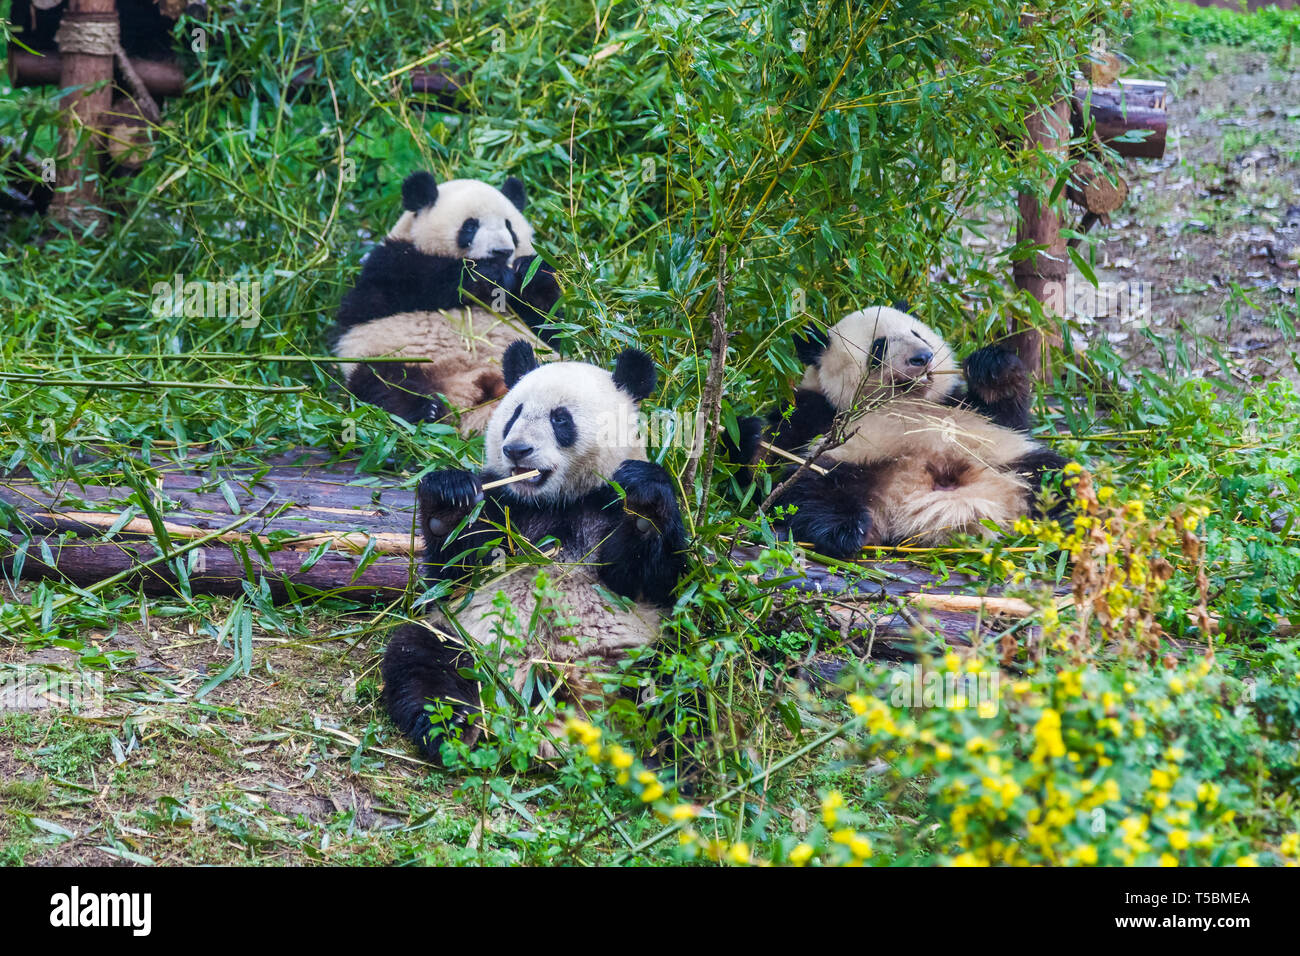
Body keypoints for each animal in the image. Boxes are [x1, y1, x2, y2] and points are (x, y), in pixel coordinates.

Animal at [333, 172, 564, 432]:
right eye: (470, 226)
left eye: (509, 226)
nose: (502, 251)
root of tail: (469, 396)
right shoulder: (388, 265)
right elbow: (415, 283)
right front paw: (486, 273)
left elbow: (548, 322)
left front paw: (529, 271)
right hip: (391, 357)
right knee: (383, 382)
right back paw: (425, 408)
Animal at [381, 341, 687, 763]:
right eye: (514, 414)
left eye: (561, 419)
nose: (516, 450)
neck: (557, 501)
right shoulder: (506, 508)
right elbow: (454, 571)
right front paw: (448, 502)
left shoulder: (603, 506)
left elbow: (652, 578)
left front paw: (643, 508)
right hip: (467, 637)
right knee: (421, 660)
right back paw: (449, 730)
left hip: (637, 654)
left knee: (684, 690)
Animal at [731, 305, 1068, 558]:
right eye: (879, 347)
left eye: (916, 333)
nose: (923, 357)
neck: (902, 402)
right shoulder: (818, 414)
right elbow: (769, 460)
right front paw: (747, 436)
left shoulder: (960, 406)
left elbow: (1009, 416)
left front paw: (991, 366)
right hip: (850, 466)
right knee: (813, 489)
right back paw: (847, 531)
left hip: (1009, 464)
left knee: (1057, 476)